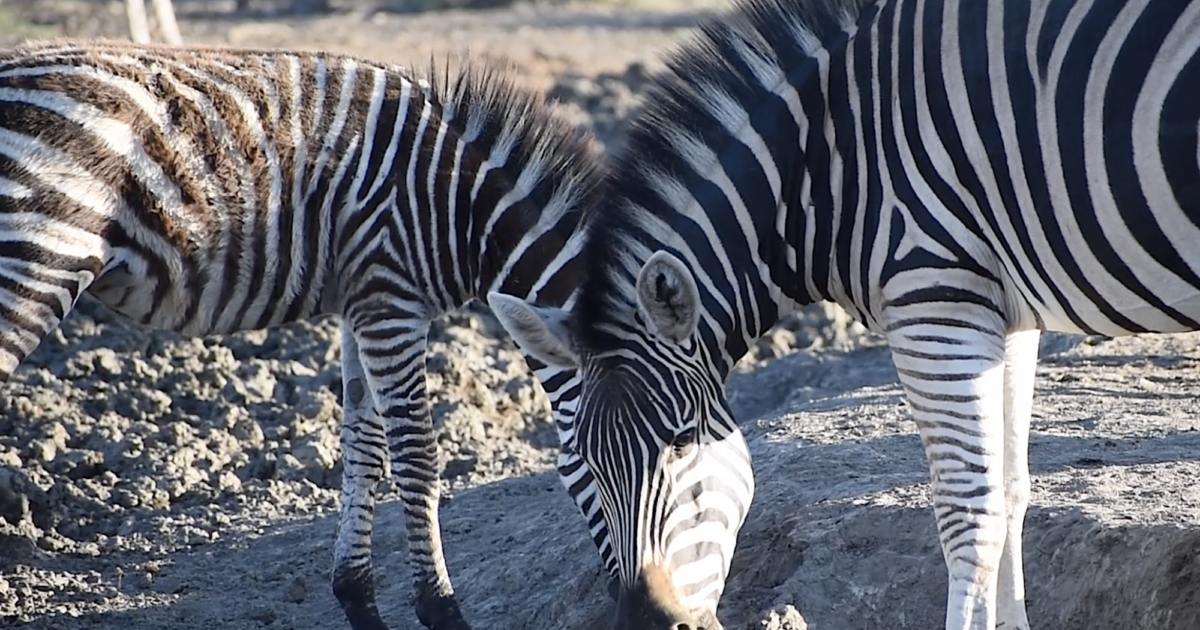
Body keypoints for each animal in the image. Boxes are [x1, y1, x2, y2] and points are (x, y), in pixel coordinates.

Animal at [0, 40, 614, 630]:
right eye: (608, 465)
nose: (634, 606)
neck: (464, 210)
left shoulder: (361, 301)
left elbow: (363, 443)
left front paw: (358, 600)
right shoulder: (390, 297)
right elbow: (415, 453)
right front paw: (442, 610)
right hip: (40, 255)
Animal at [488, 0, 1200, 628]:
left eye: (682, 440)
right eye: (580, 465)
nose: (646, 621)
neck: (821, 171)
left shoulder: (934, 300)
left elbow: (966, 516)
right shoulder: (1006, 308)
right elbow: (1011, 492)